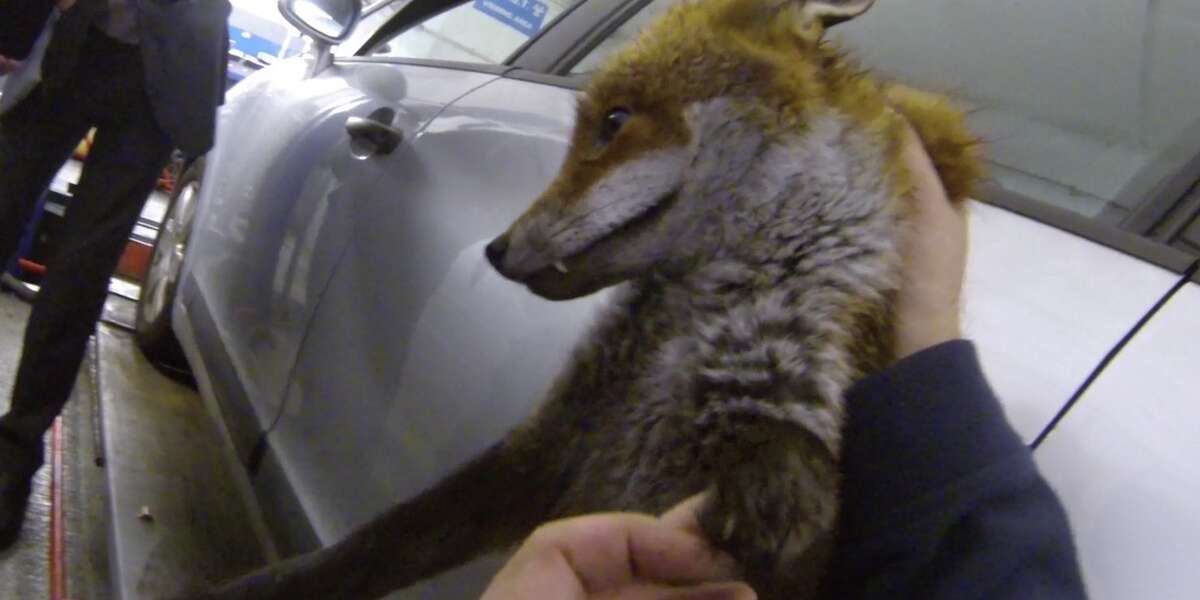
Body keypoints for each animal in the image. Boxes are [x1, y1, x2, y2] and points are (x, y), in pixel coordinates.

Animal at [177, 0, 983, 598]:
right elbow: (357, 552)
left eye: (615, 122)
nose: (495, 250)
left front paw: (782, 479)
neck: (687, 336)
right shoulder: (552, 446)